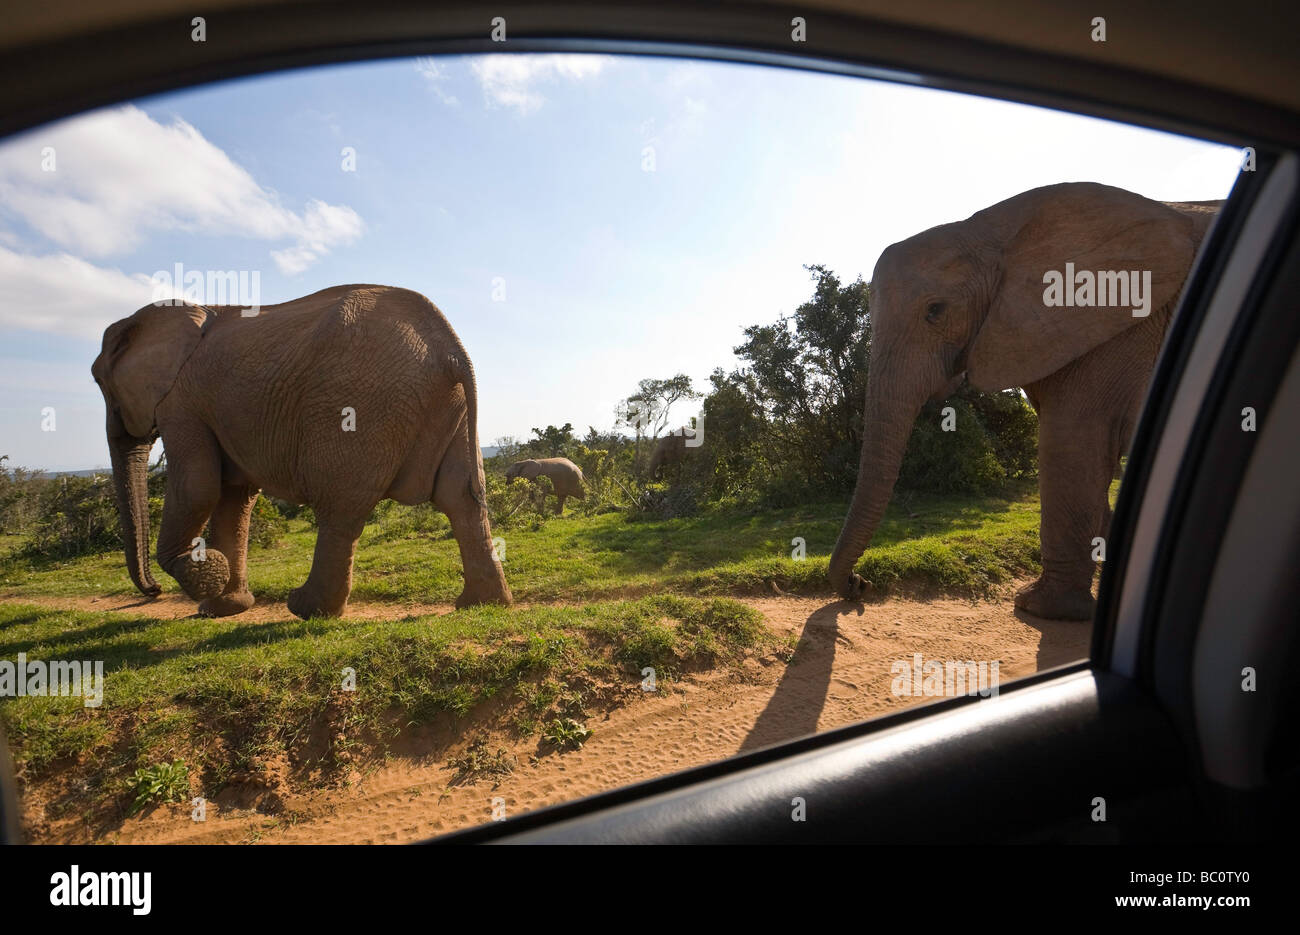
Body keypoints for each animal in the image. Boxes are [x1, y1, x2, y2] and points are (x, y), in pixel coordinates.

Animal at [92, 283, 512, 619]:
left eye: (100, 383)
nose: (153, 591)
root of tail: (451, 348)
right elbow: (234, 499)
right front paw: (222, 608)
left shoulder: (181, 402)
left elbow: (198, 487)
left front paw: (204, 576)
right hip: (449, 405)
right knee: (461, 499)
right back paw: (480, 605)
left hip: (358, 405)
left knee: (340, 506)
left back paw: (306, 609)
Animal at [828, 182, 1221, 621]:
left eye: (935, 311)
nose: (859, 587)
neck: (991, 233)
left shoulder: (1114, 330)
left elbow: (1069, 445)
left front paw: (1041, 608)